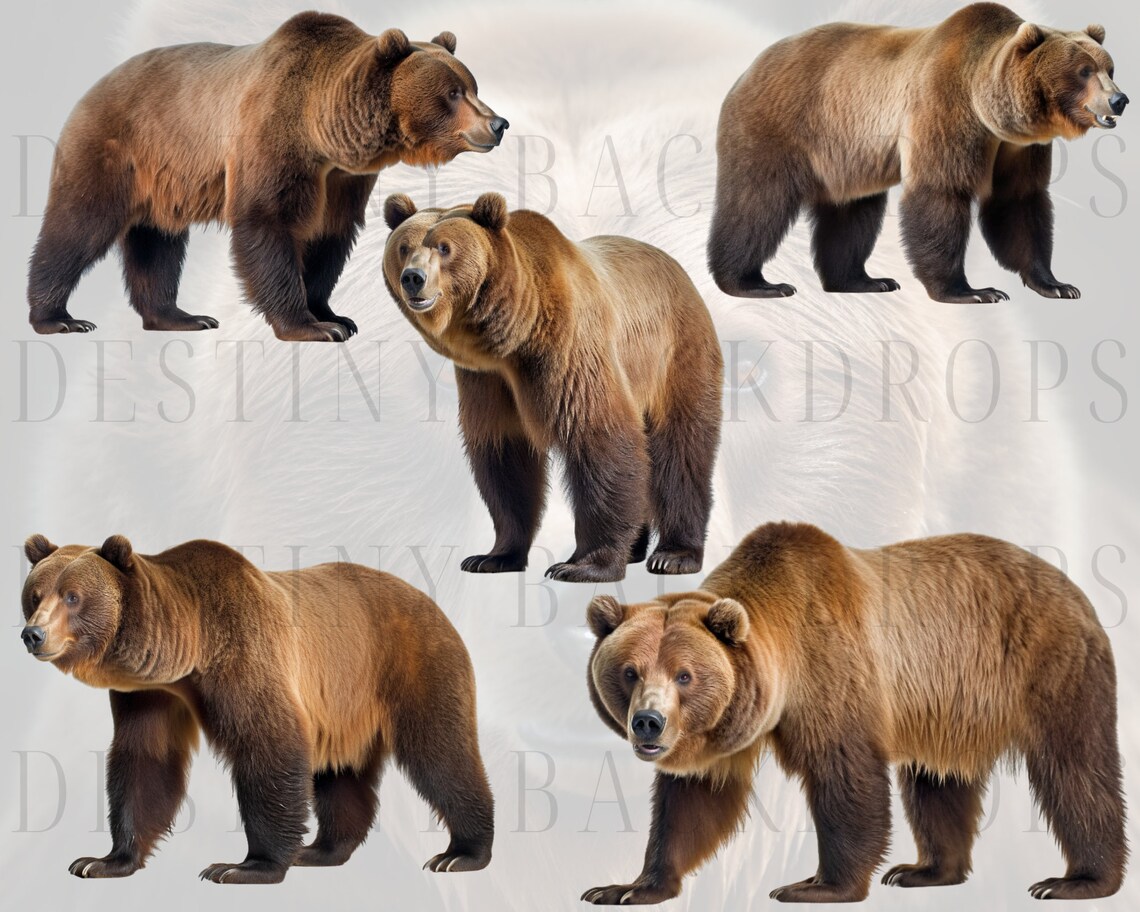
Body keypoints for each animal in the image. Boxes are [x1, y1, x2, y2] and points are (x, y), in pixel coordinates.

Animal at [18, 534, 494, 883]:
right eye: (34, 594)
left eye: (72, 596)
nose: (33, 634)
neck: (186, 650)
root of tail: (429, 598)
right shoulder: (150, 695)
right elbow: (144, 762)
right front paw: (102, 860)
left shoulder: (243, 653)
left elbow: (268, 745)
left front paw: (243, 866)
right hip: (344, 705)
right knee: (340, 773)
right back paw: (321, 850)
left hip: (410, 662)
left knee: (441, 752)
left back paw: (461, 853)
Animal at [26, 11, 507, 341]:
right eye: (453, 93)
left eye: (473, 86)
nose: (498, 123)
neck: (325, 131)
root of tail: (93, 85)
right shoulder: (273, 136)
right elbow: (268, 223)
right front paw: (310, 326)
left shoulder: (341, 180)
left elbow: (328, 237)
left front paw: (333, 314)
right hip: (115, 148)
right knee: (79, 225)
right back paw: (58, 318)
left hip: (162, 177)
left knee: (157, 240)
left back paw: (179, 316)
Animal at [381, 192, 723, 583]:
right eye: (404, 247)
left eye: (445, 247)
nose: (413, 278)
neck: (513, 336)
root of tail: (682, 272)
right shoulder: (486, 380)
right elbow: (505, 460)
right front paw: (492, 556)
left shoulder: (570, 350)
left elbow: (599, 438)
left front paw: (583, 564)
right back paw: (637, 548)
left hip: (675, 355)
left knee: (680, 448)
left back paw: (673, 555)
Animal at [583, 521, 1126, 903]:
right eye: (629, 671)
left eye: (684, 675)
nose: (648, 722)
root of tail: (1072, 585)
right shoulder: (729, 727)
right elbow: (693, 799)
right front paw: (627, 887)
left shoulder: (833, 669)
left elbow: (845, 778)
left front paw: (816, 884)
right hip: (947, 705)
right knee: (936, 781)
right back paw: (926, 870)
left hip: (1048, 662)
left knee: (1076, 769)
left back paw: (1076, 880)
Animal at [707, 3, 1128, 303]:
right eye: (1084, 70)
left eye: (1109, 67)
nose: (1120, 100)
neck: (992, 110)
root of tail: (750, 66)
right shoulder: (945, 107)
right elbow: (941, 193)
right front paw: (972, 291)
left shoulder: (1018, 147)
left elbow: (1020, 202)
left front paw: (1057, 284)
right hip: (781, 125)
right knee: (758, 202)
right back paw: (753, 282)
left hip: (847, 151)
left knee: (853, 212)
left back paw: (863, 280)